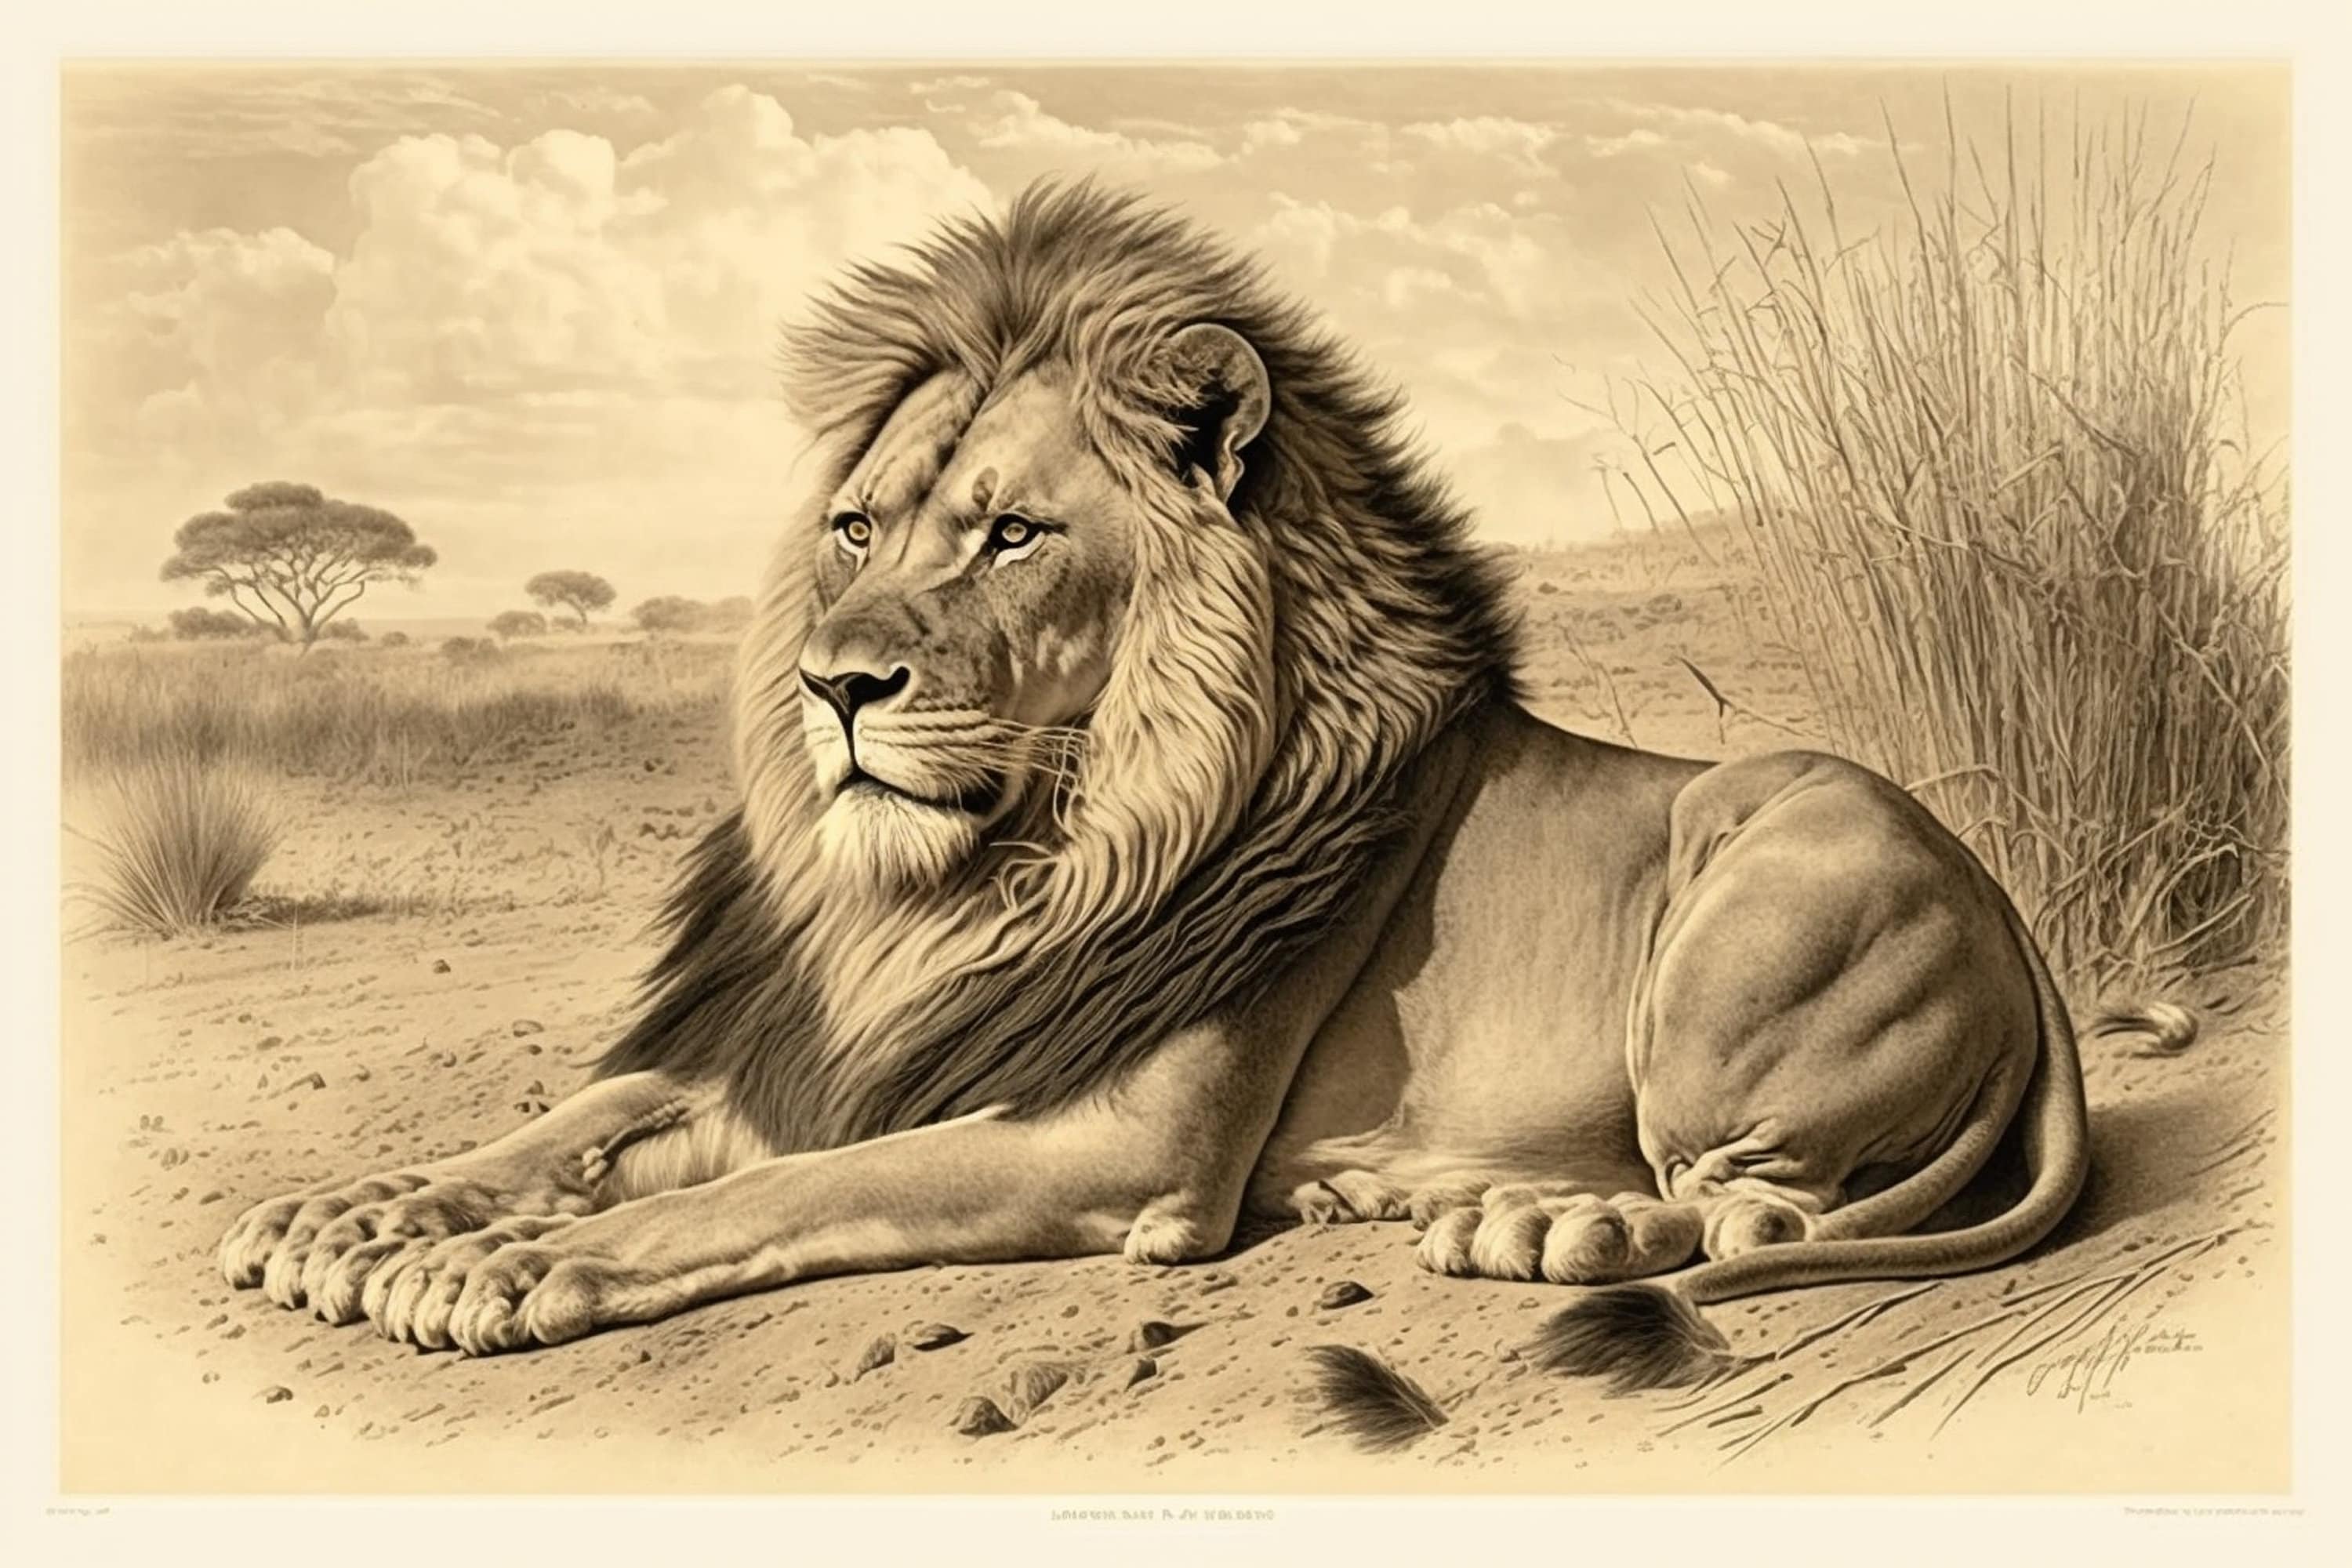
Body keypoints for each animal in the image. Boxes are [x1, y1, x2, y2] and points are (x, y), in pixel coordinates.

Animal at [217, 180, 2180, 1392]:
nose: (832, 682)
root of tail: (2011, 915)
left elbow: (757, 1196)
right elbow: (593, 1114)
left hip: (1768, 863)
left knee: (1760, 1201)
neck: (1004, 865)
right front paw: (354, 1212)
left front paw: (490, 1272)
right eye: (855, 527)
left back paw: (1550, 1221)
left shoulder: (1122, 1143)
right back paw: (1400, 1194)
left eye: (1012, 535)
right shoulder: (857, 1053)